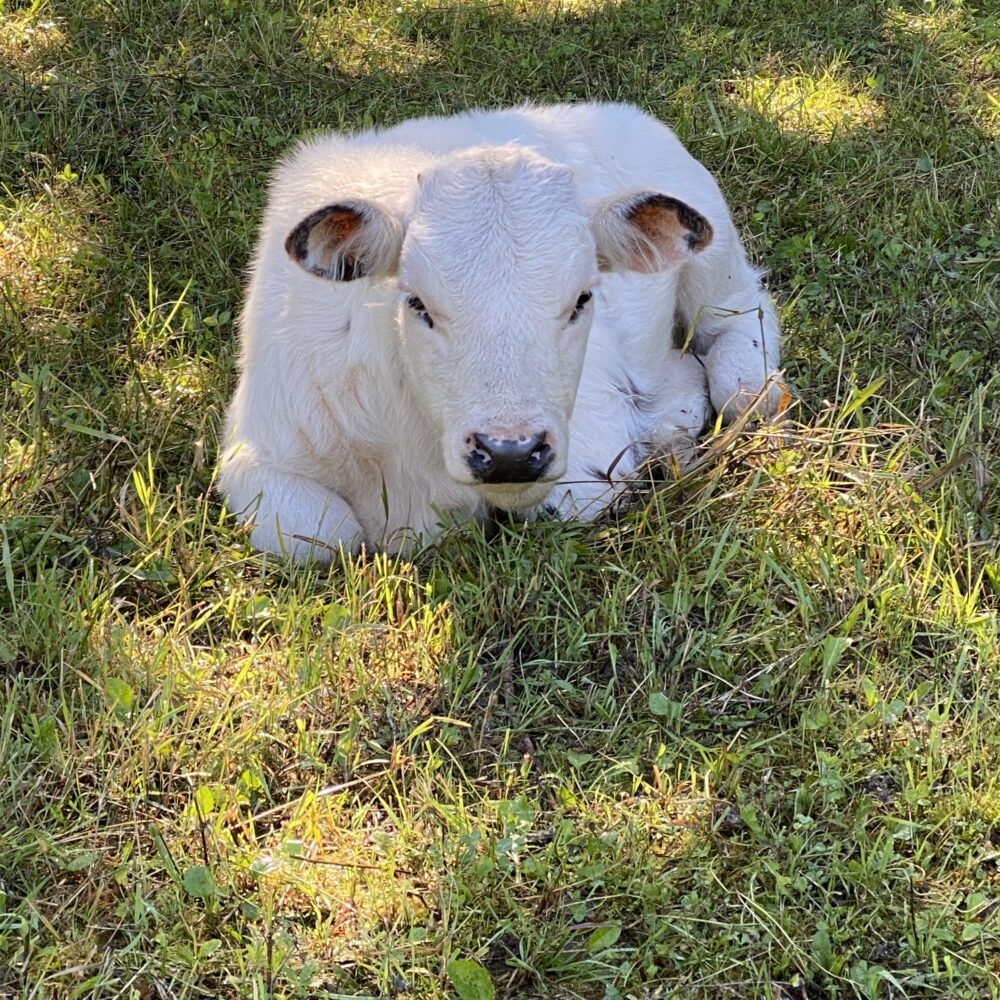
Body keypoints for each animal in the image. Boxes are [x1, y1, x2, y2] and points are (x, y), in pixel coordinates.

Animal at [218, 103, 781, 560]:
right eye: (416, 301)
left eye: (583, 297)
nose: (510, 451)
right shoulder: (257, 453)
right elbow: (323, 535)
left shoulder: (589, 450)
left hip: (717, 263)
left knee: (742, 339)